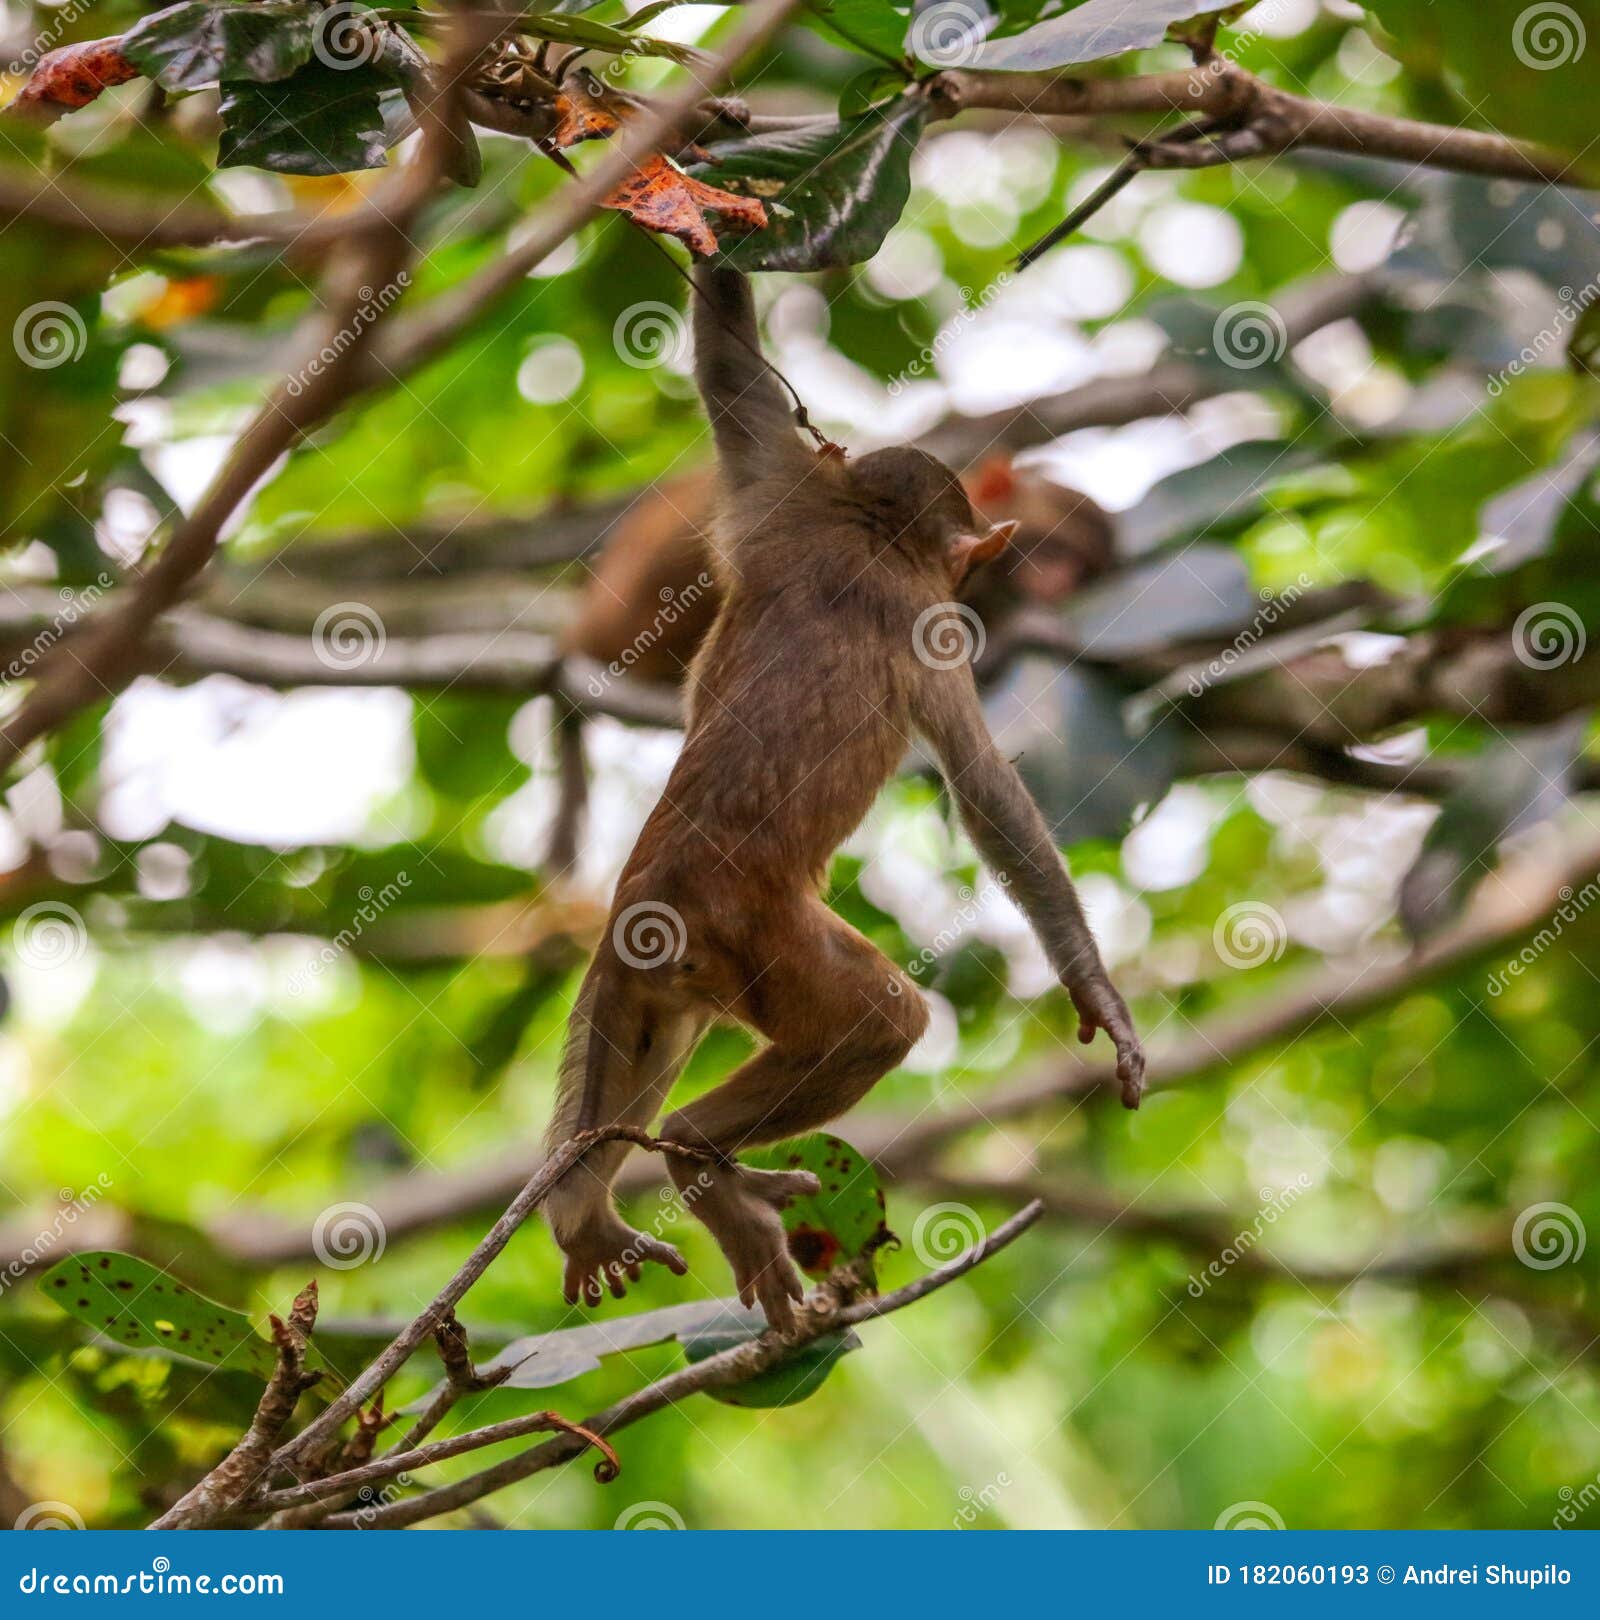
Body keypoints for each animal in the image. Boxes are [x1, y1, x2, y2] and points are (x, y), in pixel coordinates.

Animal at [542, 266, 1144, 1332]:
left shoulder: (780, 487)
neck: (865, 525)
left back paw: (586, 1208)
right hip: (765, 943)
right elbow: (988, 793)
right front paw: (1102, 999)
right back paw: (699, 1158)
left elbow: (731, 373)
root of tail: (651, 891)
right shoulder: (931, 620)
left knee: (645, 1041)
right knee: (881, 1021)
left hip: (660, 966)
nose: (1046, 582)